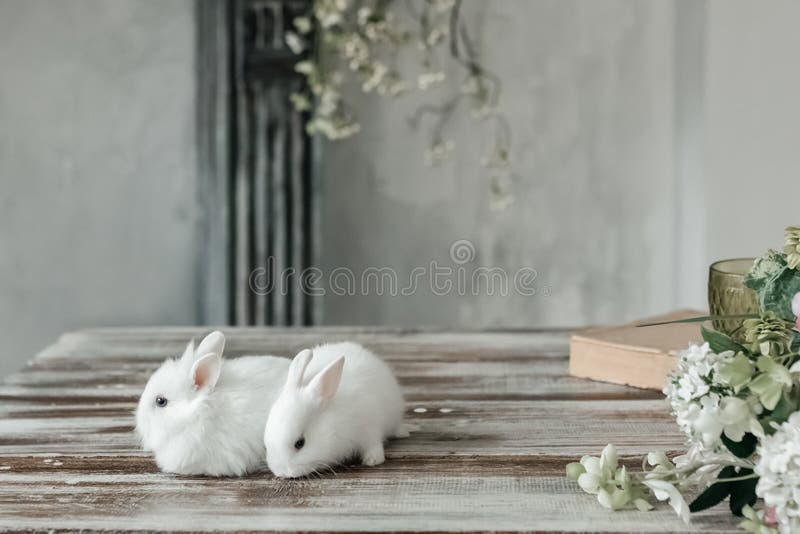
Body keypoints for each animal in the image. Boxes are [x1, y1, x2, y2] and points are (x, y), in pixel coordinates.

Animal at [263, 342, 408, 478]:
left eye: (300, 443)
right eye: (266, 445)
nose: (282, 472)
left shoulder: (370, 426)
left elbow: (373, 444)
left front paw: (373, 460)